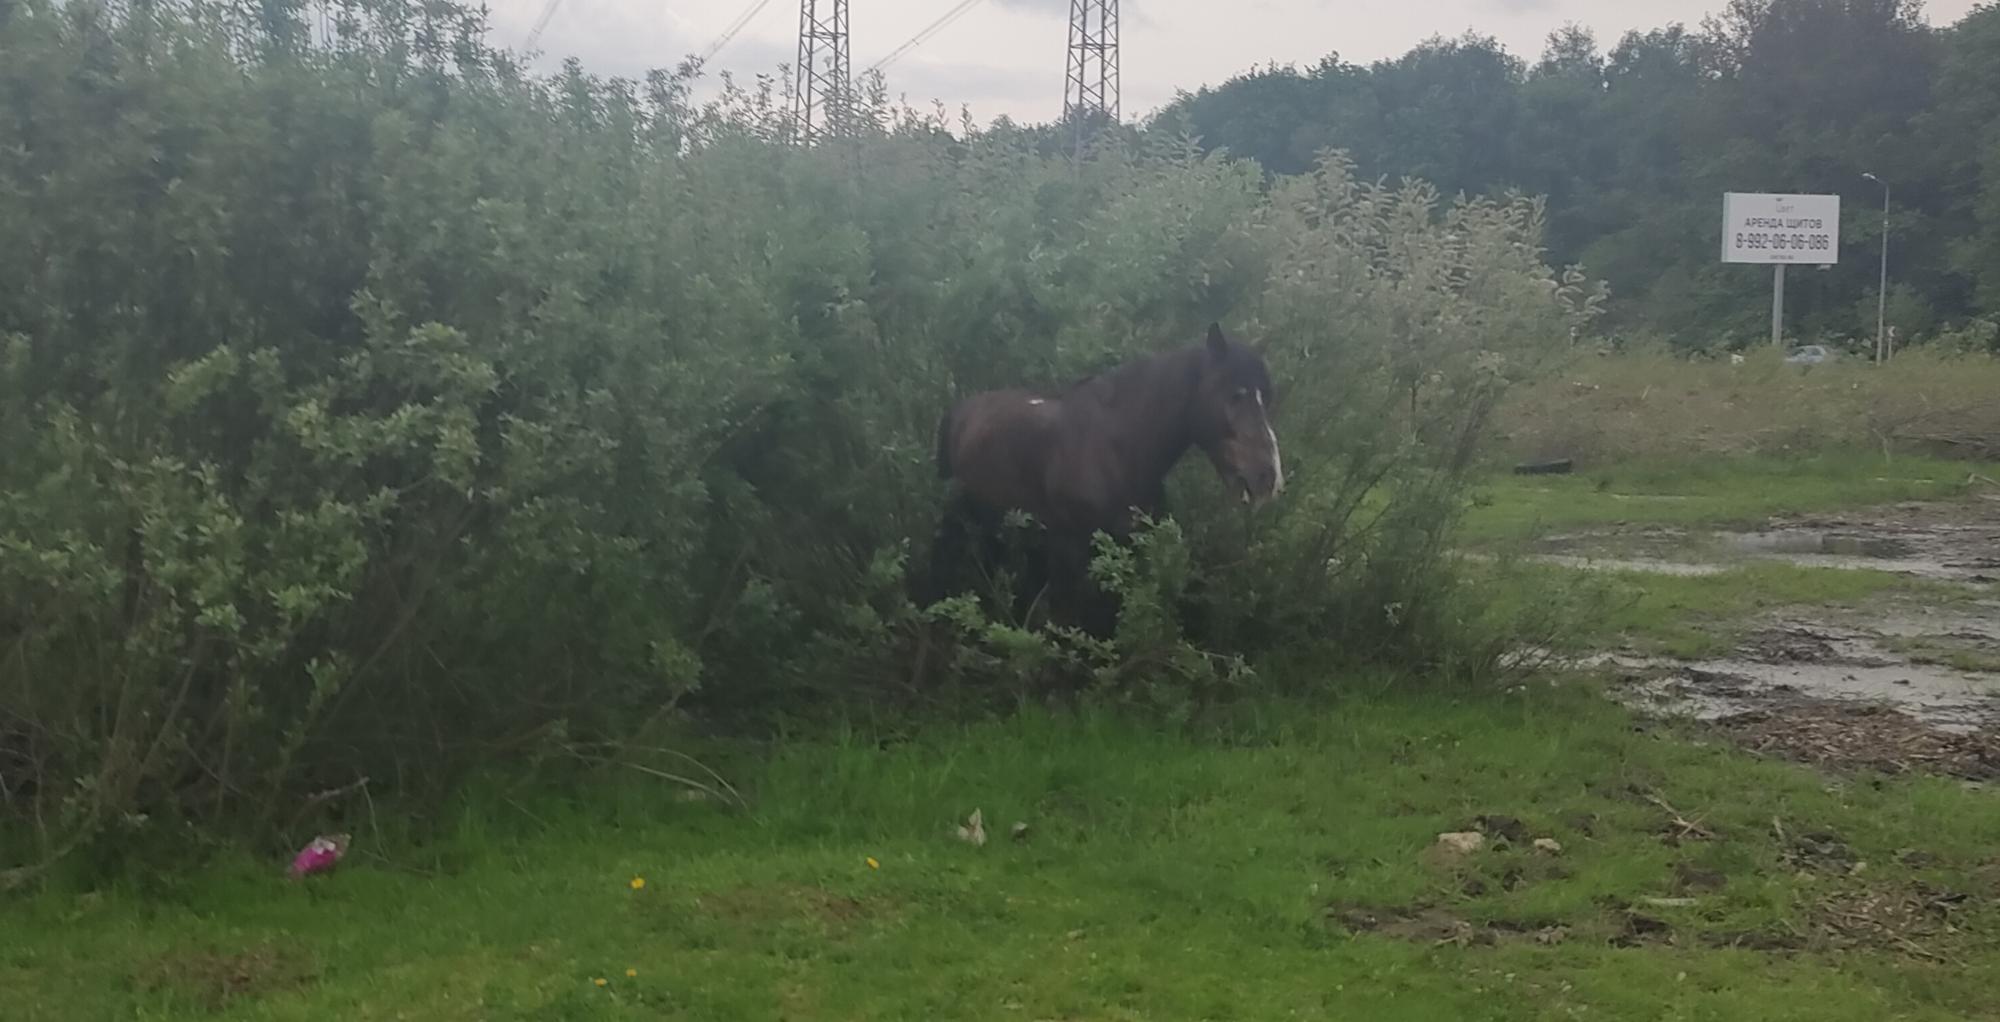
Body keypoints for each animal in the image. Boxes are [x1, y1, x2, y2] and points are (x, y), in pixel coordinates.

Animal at [920, 322, 1285, 637]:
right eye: (1235, 394)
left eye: (1266, 396)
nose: (1267, 477)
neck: (1116, 449)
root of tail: (961, 411)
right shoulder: (1070, 552)